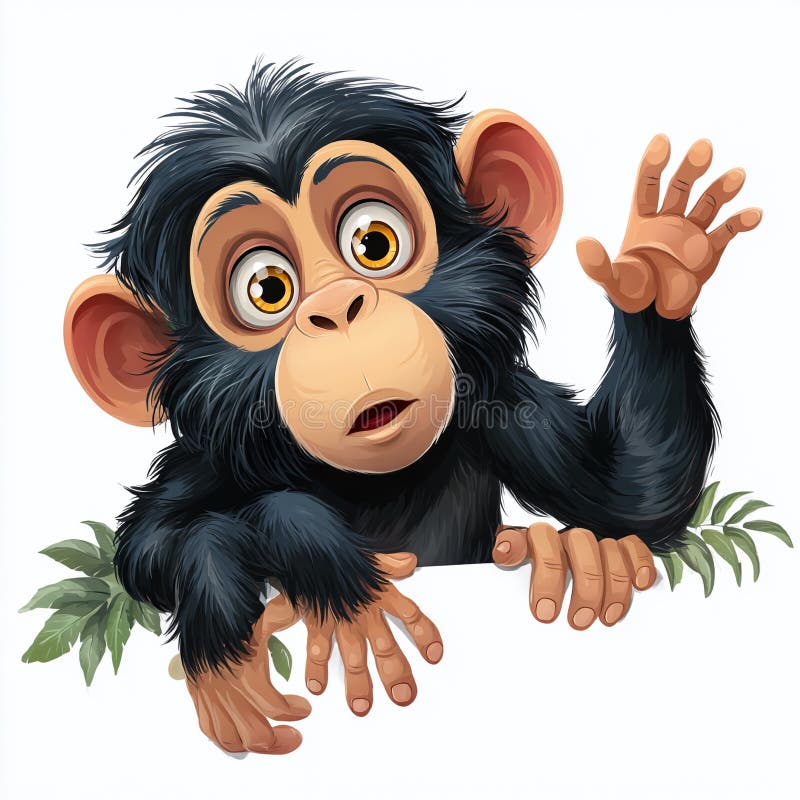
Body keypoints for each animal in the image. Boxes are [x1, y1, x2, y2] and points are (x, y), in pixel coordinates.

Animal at [63, 61, 760, 754]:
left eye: (373, 243)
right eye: (267, 289)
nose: (338, 309)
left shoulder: (504, 404)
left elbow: (633, 494)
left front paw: (662, 259)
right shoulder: (206, 461)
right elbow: (151, 542)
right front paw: (310, 569)